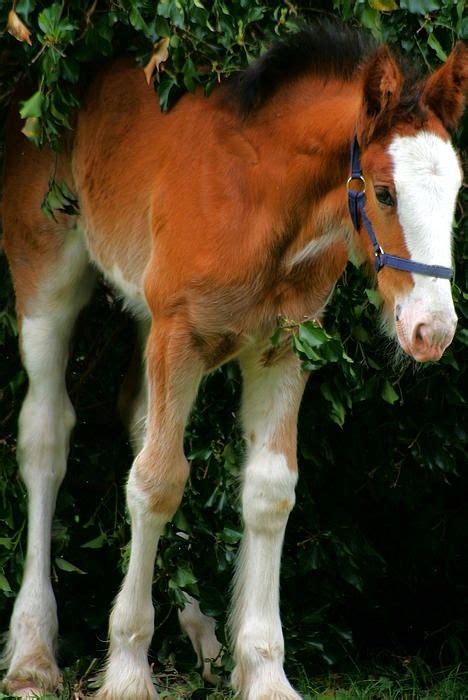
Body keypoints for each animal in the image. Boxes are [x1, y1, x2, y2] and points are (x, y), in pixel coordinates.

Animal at [2, 21, 467, 700]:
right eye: (384, 193)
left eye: (456, 193)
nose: (433, 329)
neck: (263, 205)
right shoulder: (179, 336)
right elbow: (156, 484)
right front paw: (128, 670)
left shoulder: (285, 349)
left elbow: (269, 491)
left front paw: (265, 671)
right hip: (46, 279)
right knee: (46, 437)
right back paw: (33, 653)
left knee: (139, 417)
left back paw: (202, 635)